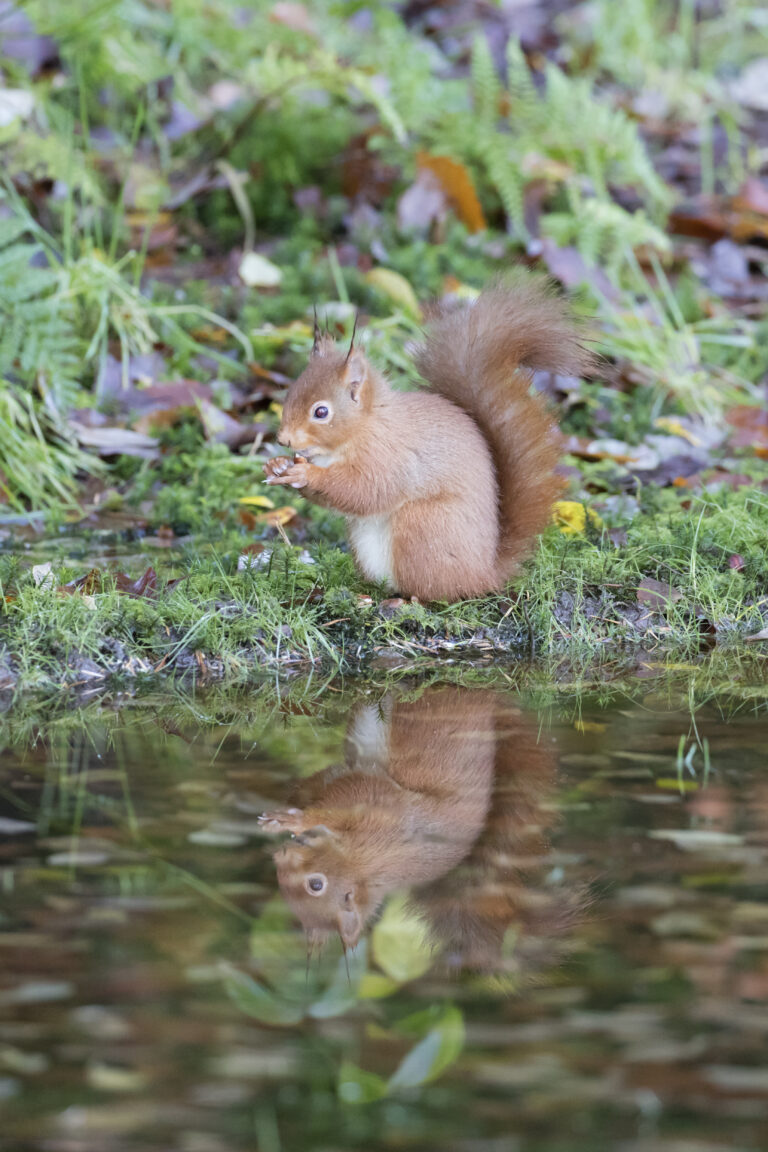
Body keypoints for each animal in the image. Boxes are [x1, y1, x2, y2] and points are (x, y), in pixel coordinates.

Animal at [264, 274, 590, 601]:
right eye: (290, 393)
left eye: (321, 412)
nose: (284, 439)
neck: (361, 429)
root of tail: (485, 573)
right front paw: (276, 465)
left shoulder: (388, 455)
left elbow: (365, 490)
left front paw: (306, 474)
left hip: (423, 528)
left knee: (433, 590)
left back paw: (407, 601)